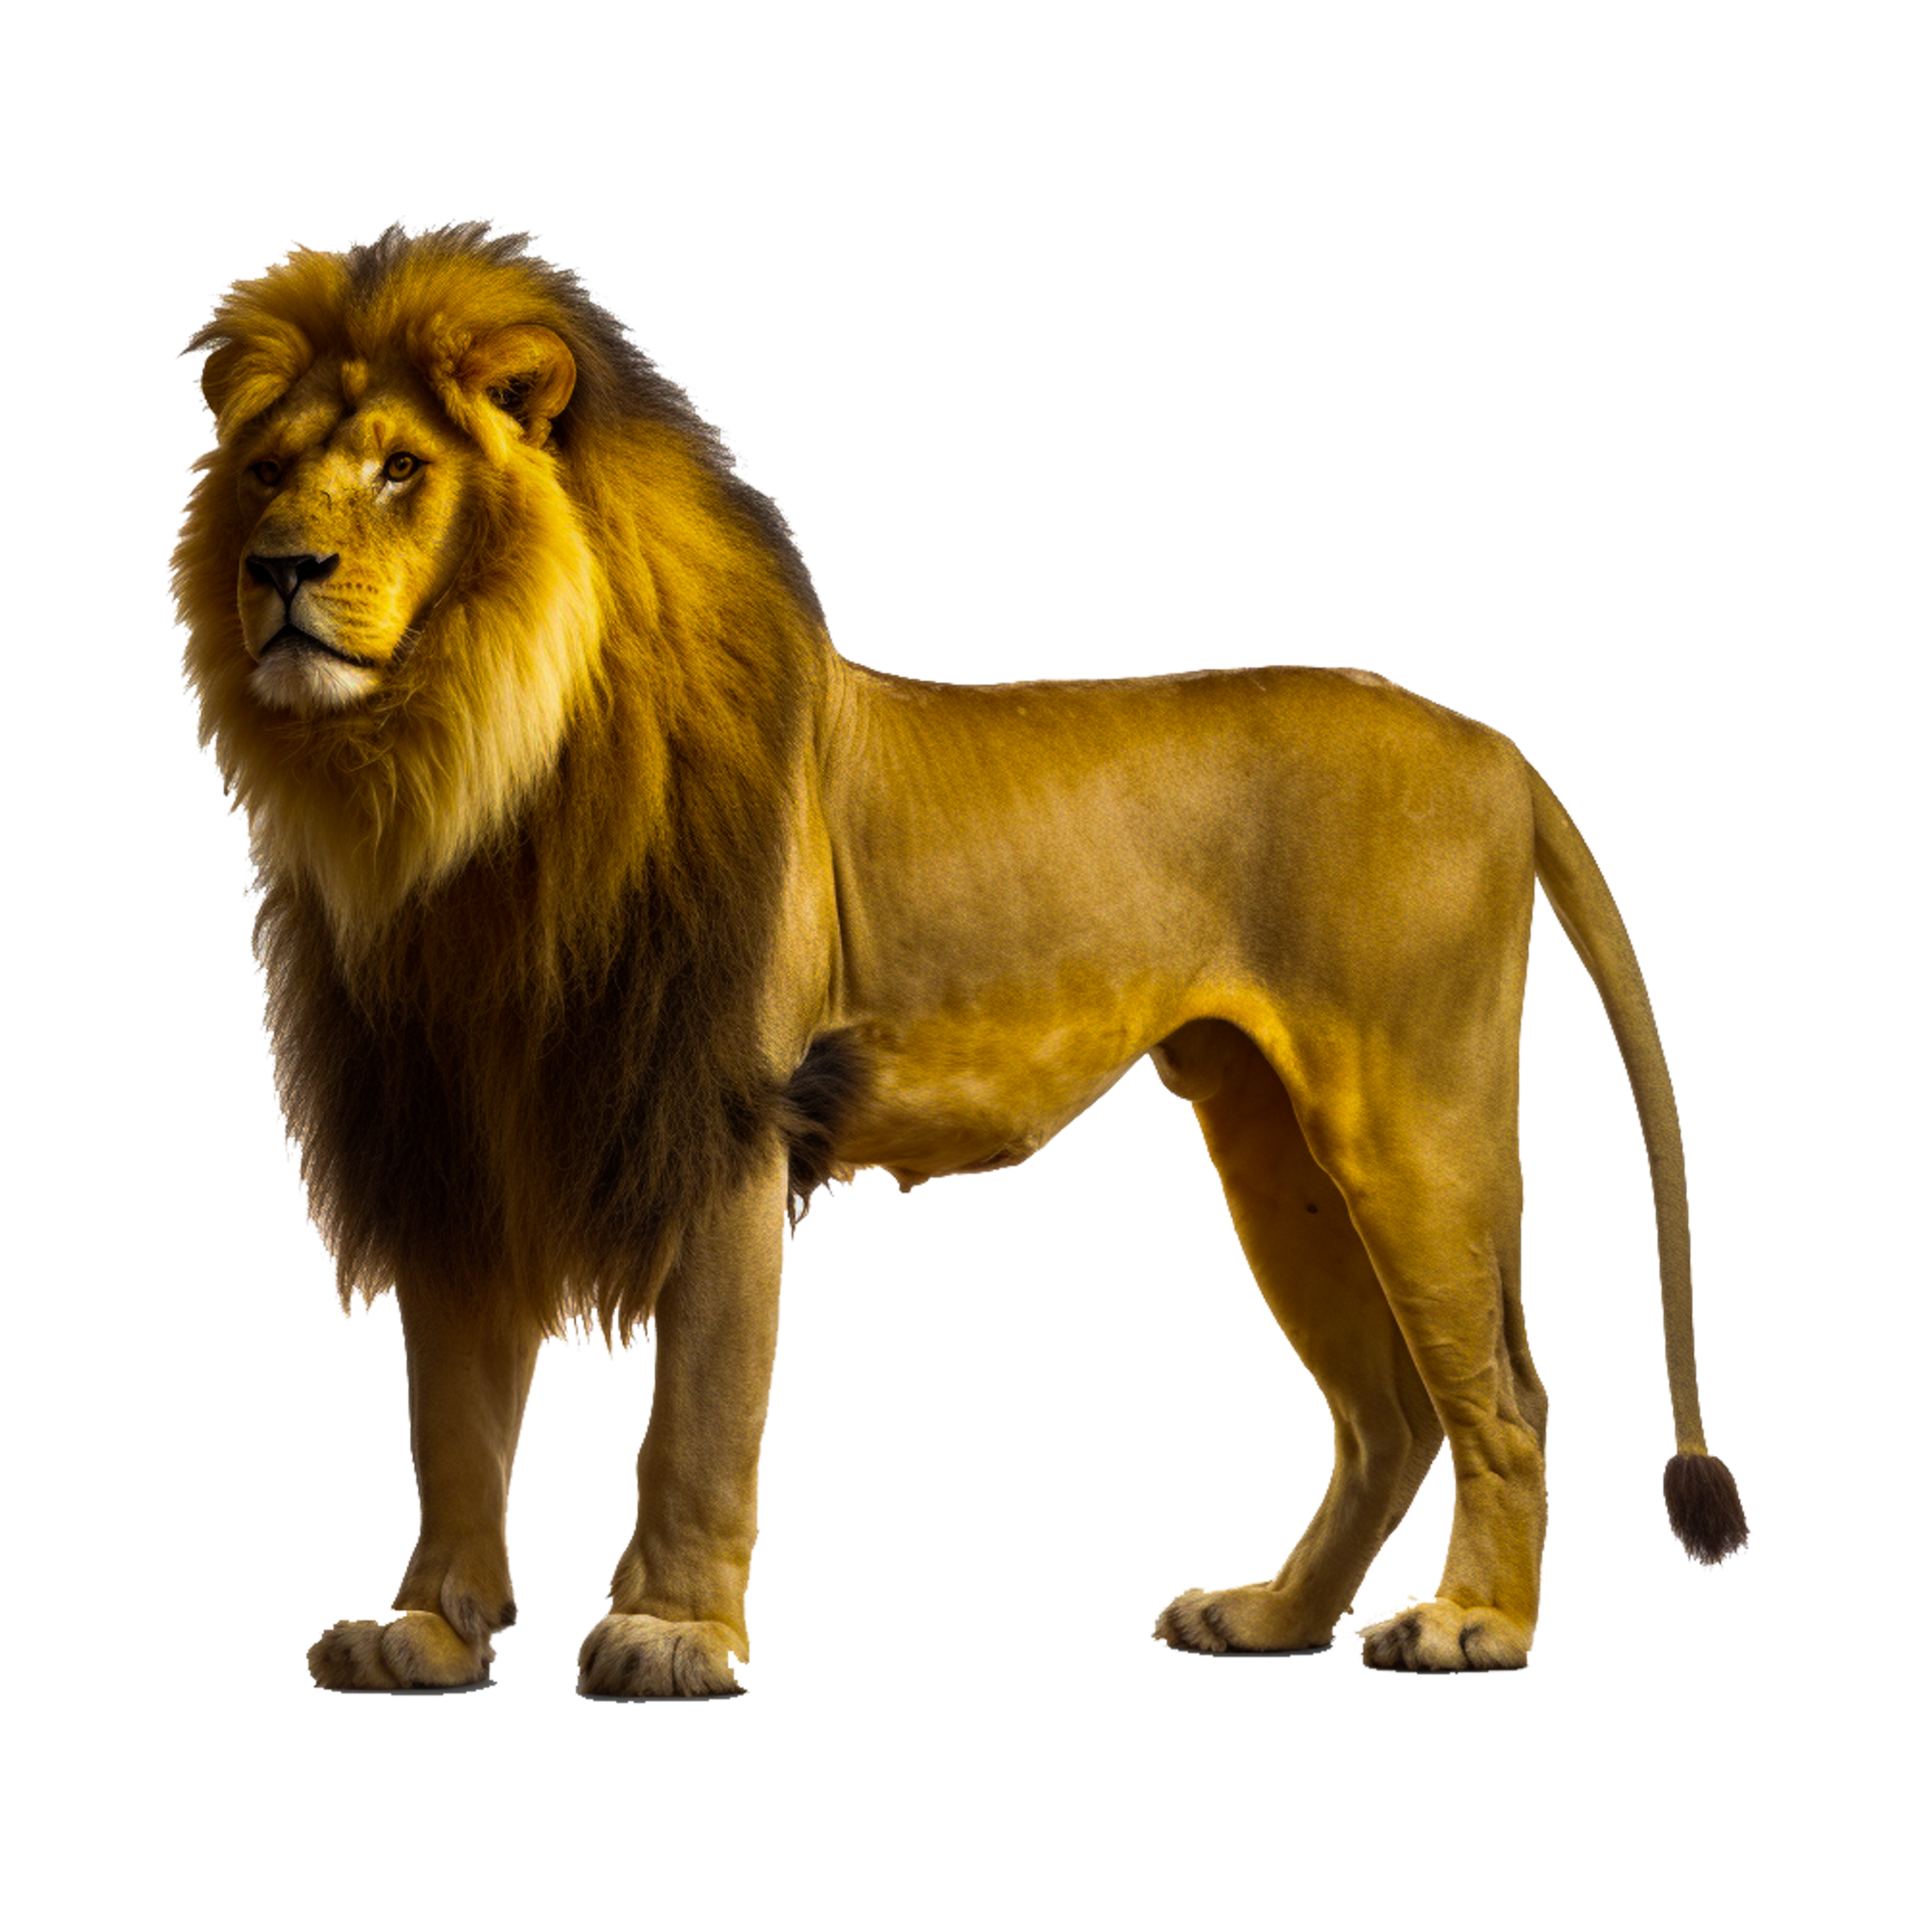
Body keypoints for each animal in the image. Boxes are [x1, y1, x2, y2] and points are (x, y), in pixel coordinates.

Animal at [171, 216, 1750, 1694]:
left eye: (399, 471)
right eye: (267, 472)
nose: (277, 568)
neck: (466, 782)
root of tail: (1494, 743)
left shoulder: (730, 1118)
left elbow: (698, 1420)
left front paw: (669, 1632)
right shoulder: (445, 1132)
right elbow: (454, 1413)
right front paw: (429, 1632)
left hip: (1413, 1108)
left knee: (1505, 1393)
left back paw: (1474, 1622)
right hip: (1272, 1142)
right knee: (1388, 1410)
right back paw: (1270, 1618)